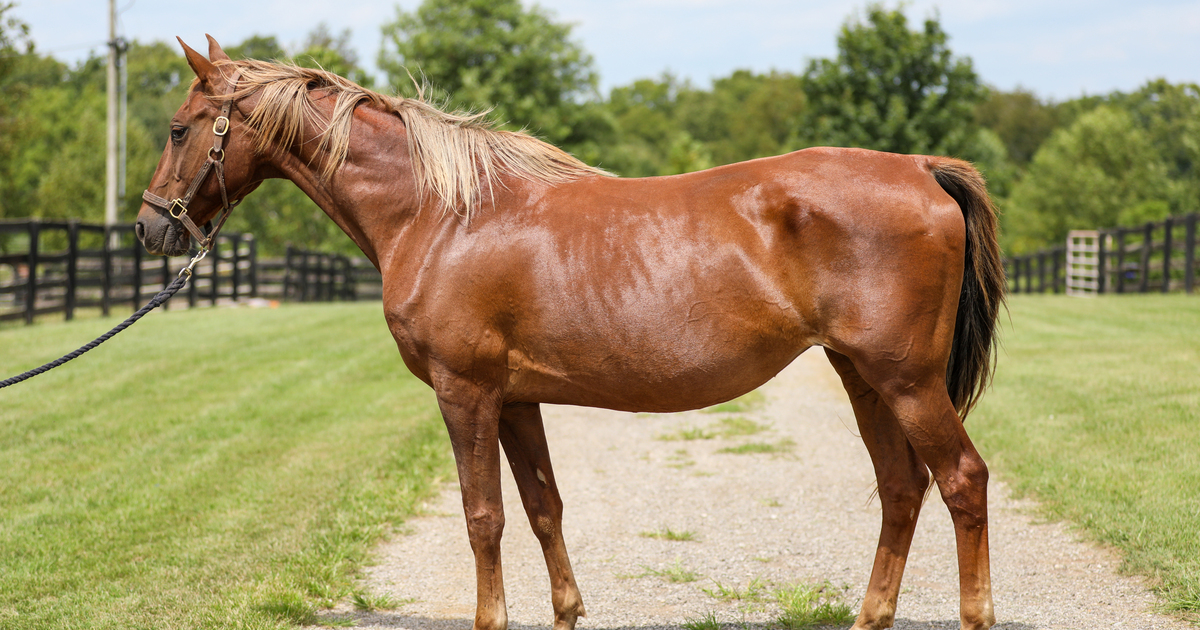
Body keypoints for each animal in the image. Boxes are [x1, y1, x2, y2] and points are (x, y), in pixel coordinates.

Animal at [136, 36, 1005, 630]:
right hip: (863, 377)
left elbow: (482, 514)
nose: (151, 228)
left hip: (905, 381)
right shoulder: (517, 399)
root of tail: (920, 168)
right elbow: (542, 505)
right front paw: (565, 608)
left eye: (180, 128)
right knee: (902, 489)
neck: (444, 213)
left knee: (962, 480)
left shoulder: (465, 393)